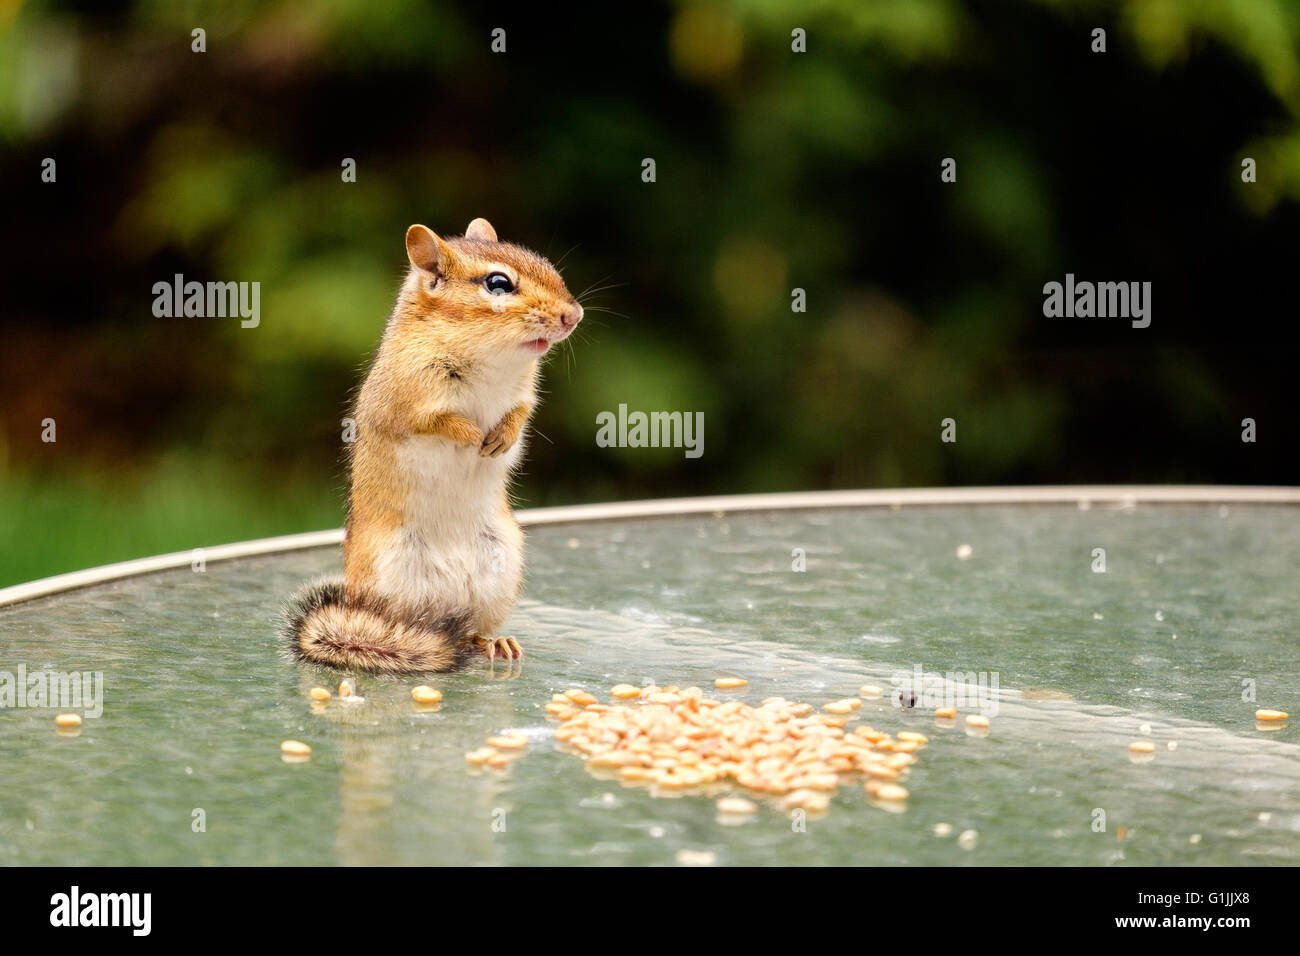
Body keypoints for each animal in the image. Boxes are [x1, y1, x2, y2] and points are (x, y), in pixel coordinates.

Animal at [284, 218, 582, 673]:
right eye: (498, 284)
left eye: (547, 265)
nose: (574, 315)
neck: (491, 362)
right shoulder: (404, 403)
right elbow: (435, 422)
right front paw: (472, 435)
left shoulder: (525, 394)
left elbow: (519, 415)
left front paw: (501, 437)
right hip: (391, 577)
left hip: (502, 569)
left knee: (471, 630)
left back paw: (492, 642)